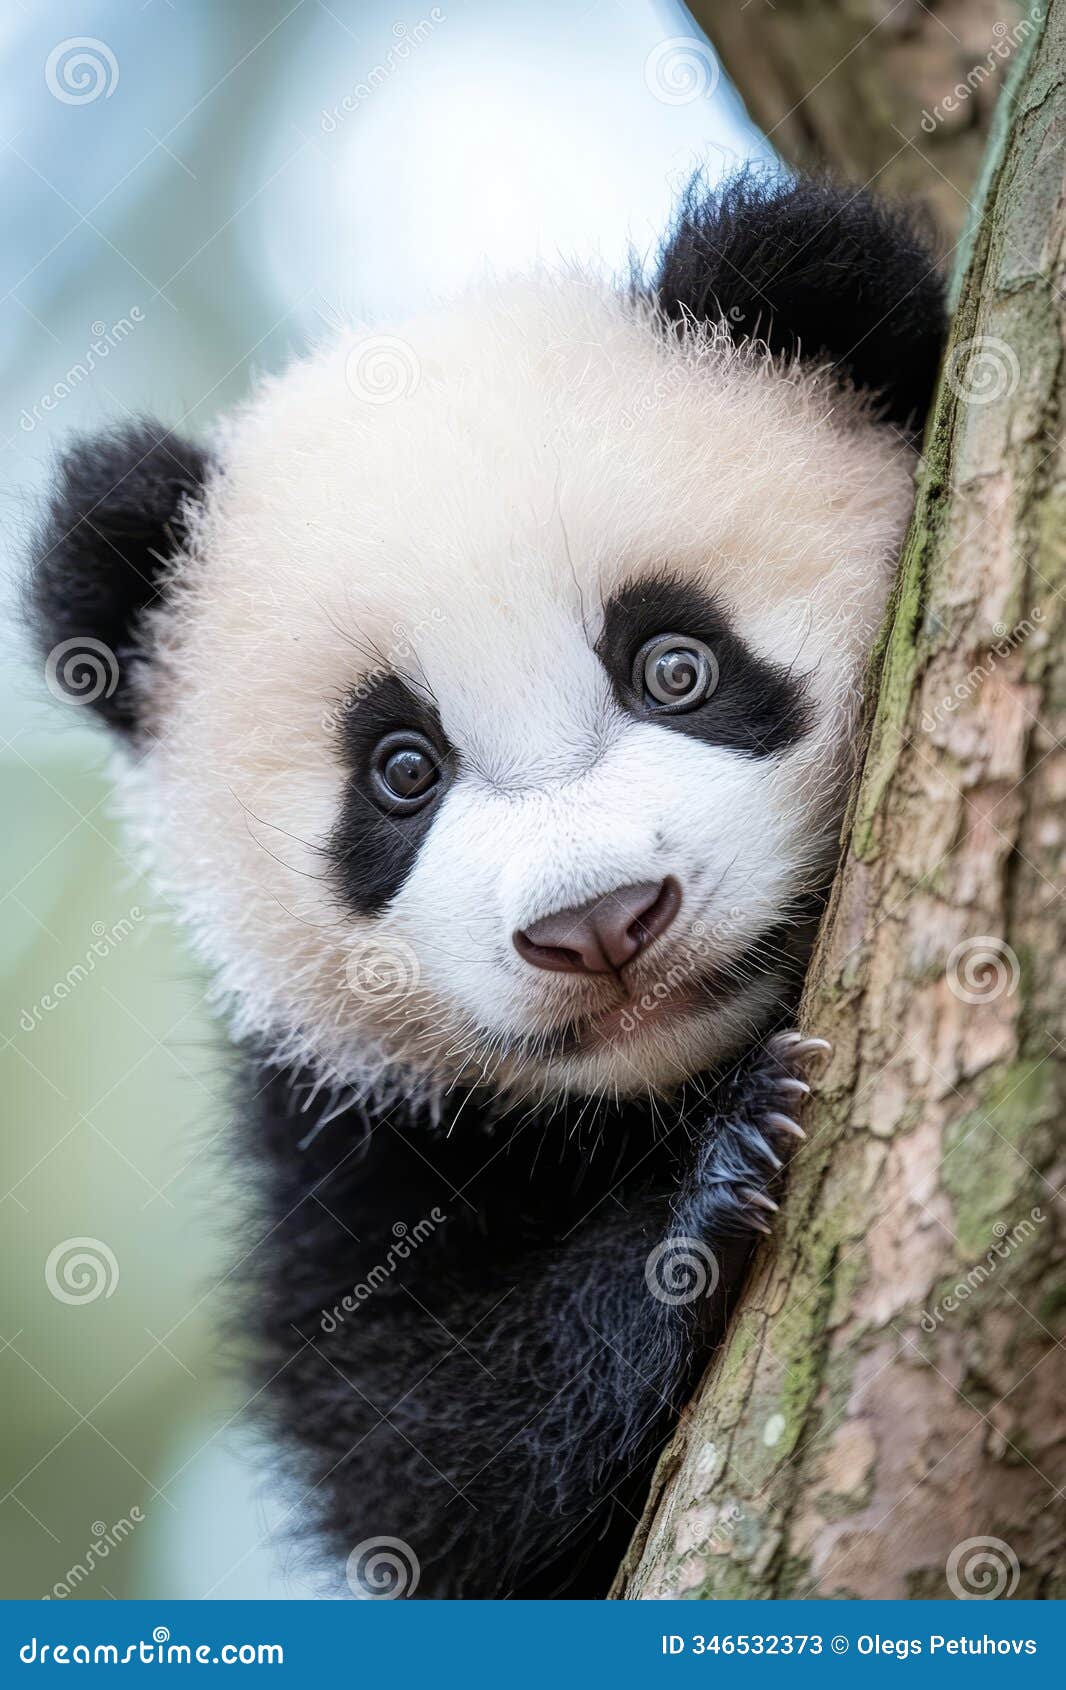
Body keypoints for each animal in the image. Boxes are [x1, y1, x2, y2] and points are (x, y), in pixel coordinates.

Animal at [28, 174, 944, 1599]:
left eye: (673, 666)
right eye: (401, 770)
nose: (599, 922)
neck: (647, 1085)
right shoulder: (334, 1128)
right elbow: (415, 1449)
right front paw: (710, 1185)